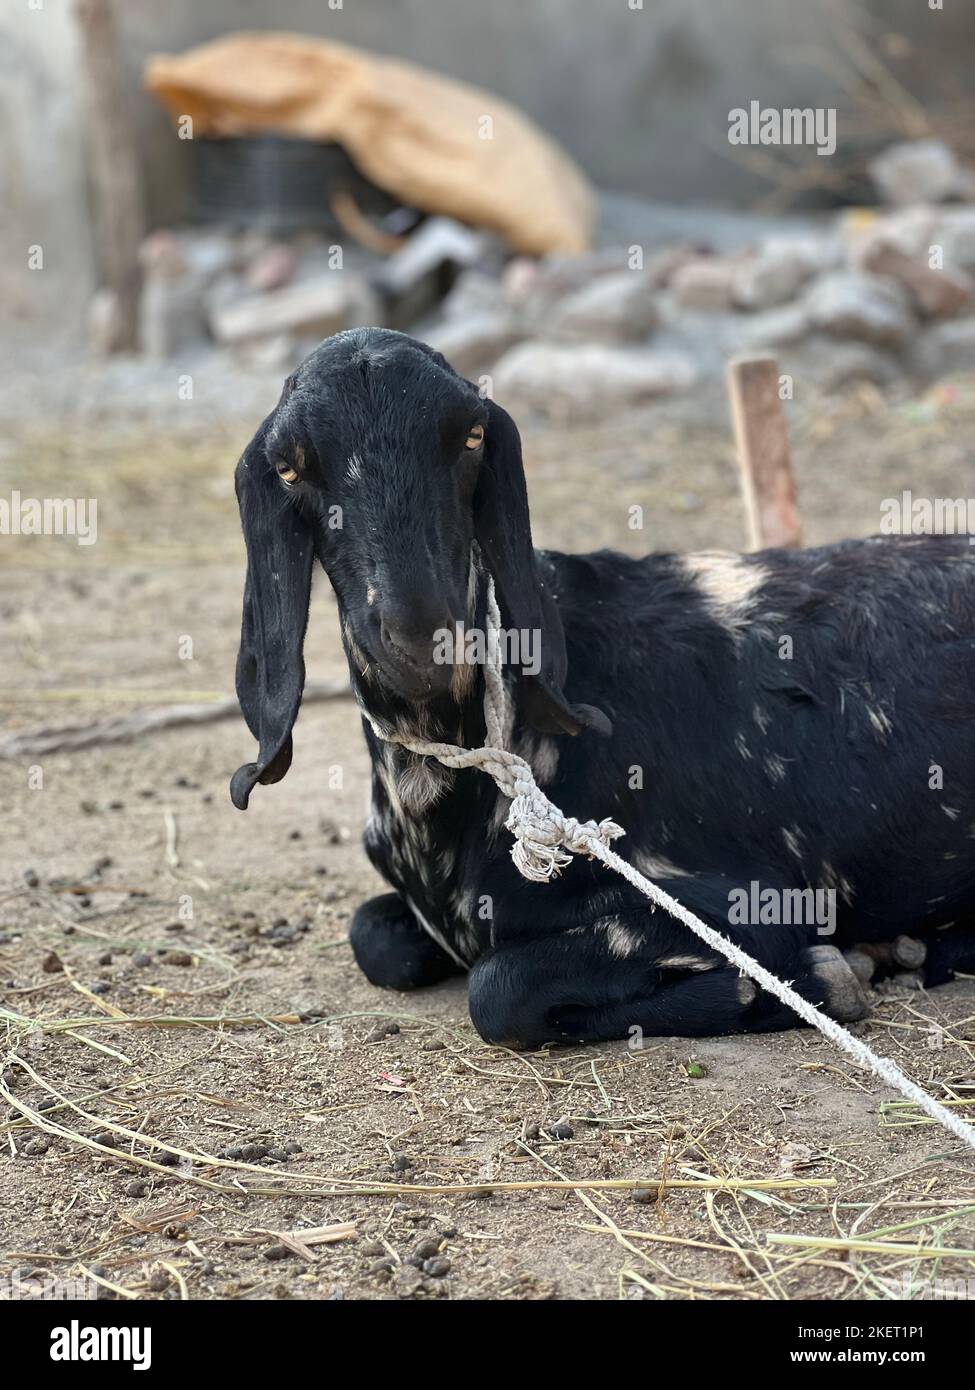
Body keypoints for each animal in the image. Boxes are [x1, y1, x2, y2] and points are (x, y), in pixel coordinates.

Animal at [231, 327, 975, 1047]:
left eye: (471, 436)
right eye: (289, 466)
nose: (421, 638)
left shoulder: (746, 899)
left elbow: (499, 988)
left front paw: (824, 980)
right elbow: (374, 938)